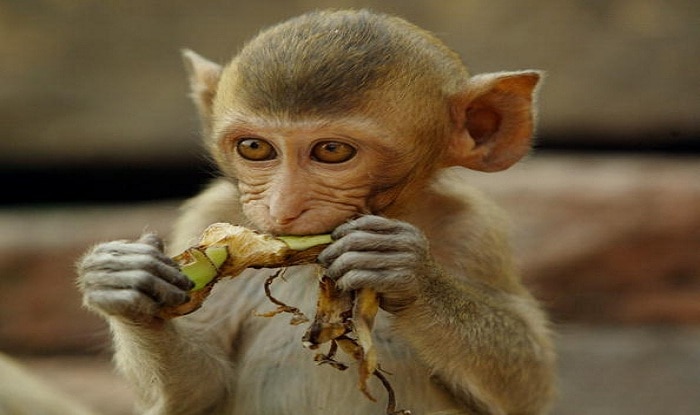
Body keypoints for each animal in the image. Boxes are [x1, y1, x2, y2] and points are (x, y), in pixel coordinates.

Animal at [77, 9, 556, 415]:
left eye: (332, 151)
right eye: (255, 148)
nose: (282, 207)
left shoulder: (476, 230)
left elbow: (525, 390)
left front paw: (407, 272)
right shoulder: (207, 212)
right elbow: (197, 389)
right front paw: (130, 287)